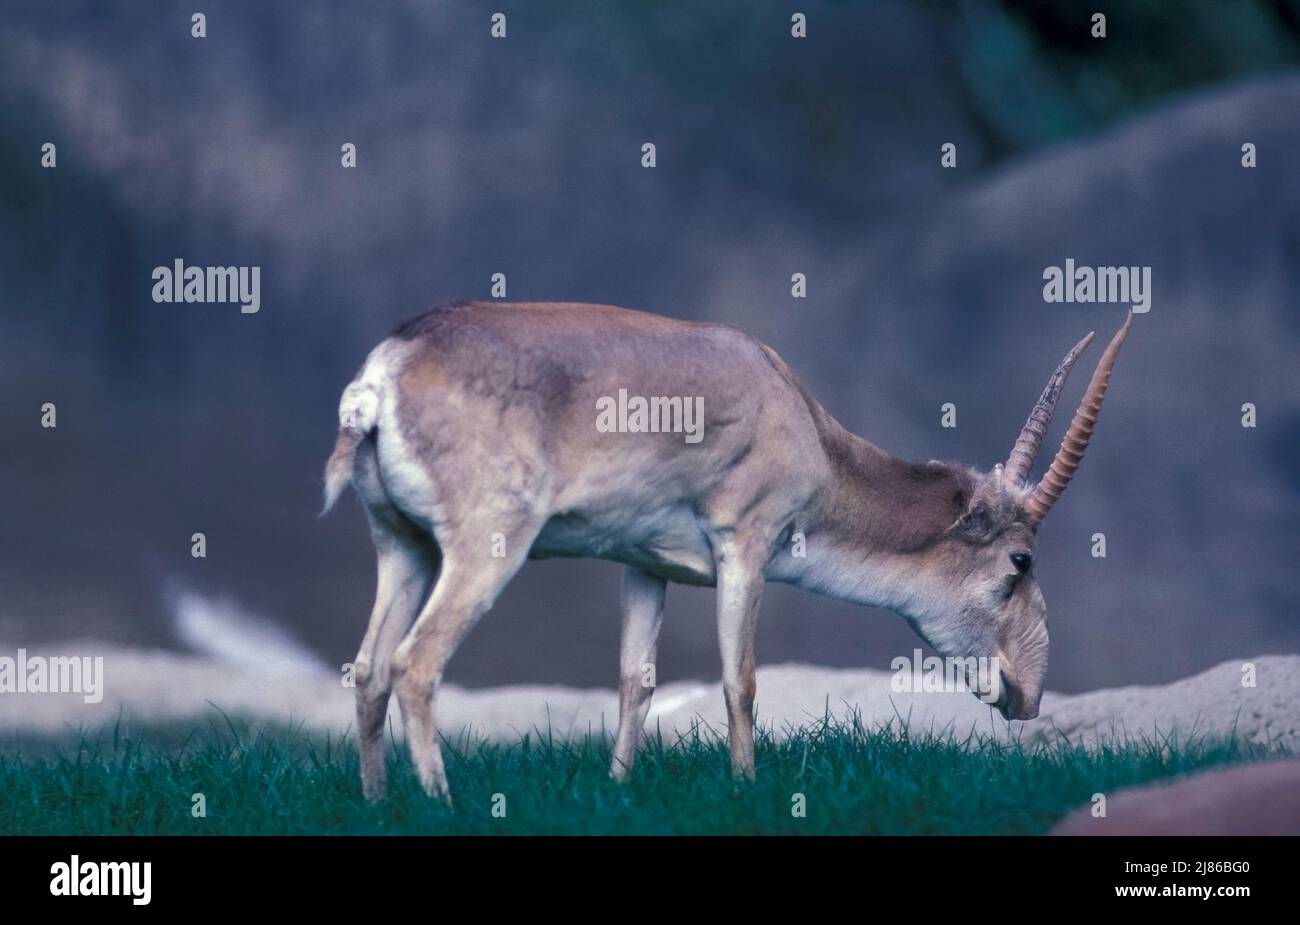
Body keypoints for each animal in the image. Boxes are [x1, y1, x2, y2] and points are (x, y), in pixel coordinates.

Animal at [322, 301, 1132, 802]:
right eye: (1020, 560)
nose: (1029, 693)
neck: (801, 421)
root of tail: (381, 375)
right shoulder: (746, 544)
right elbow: (740, 680)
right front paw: (747, 787)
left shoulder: (643, 566)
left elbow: (636, 680)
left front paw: (619, 788)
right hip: (483, 549)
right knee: (415, 664)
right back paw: (443, 803)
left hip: (403, 546)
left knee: (368, 667)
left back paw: (378, 803)